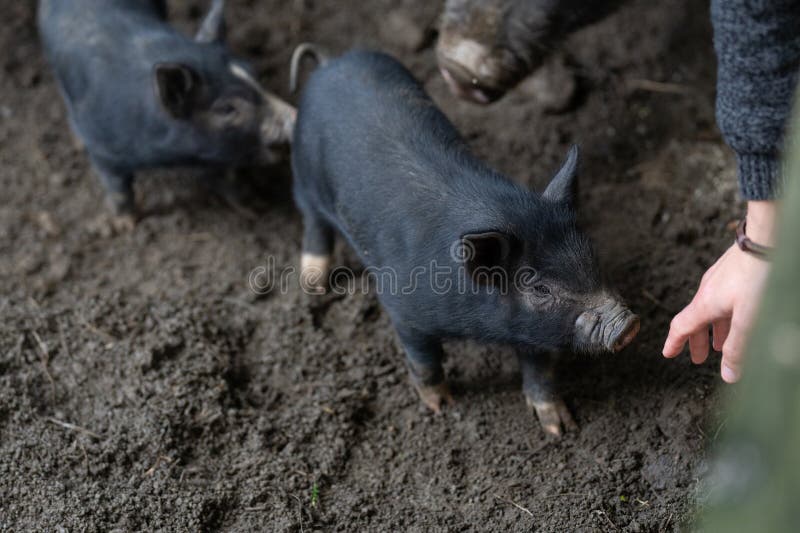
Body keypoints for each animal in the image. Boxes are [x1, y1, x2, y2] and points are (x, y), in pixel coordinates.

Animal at [38, 0, 296, 224]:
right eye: (227, 109)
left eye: (255, 76)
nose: (295, 117)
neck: (170, 157)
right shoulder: (103, 148)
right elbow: (118, 187)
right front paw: (126, 224)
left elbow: (226, 179)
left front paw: (255, 208)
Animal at [291, 48, 639, 436]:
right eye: (541, 289)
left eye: (592, 256)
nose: (627, 325)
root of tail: (328, 62)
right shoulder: (404, 309)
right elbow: (424, 359)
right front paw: (441, 406)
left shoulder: (531, 330)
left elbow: (540, 369)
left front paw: (559, 427)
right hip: (303, 174)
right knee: (313, 221)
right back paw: (313, 284)